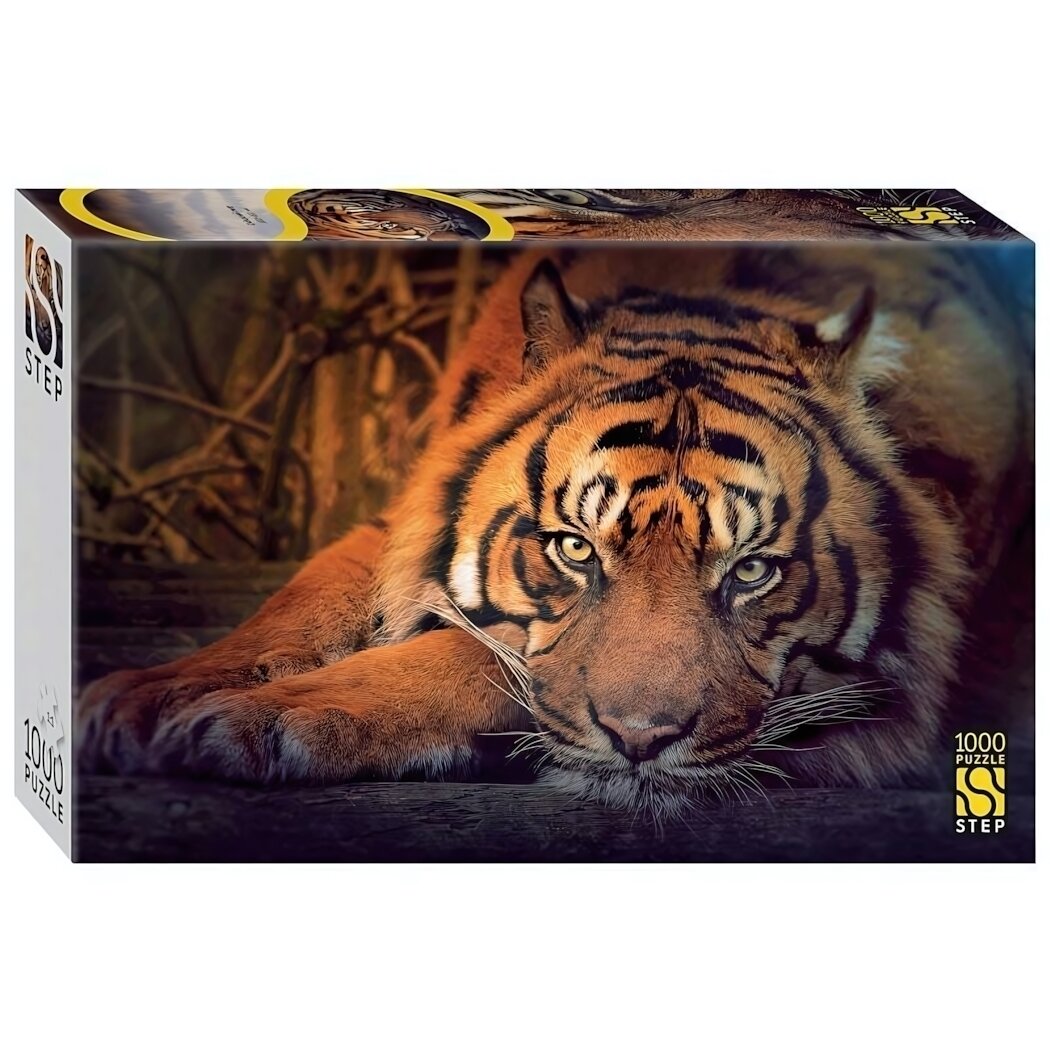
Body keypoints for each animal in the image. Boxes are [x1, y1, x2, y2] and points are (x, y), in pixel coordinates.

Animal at [76, 244, 1032, 814]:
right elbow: (308, 595)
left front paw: (258, 716)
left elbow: (475, 654)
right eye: (575, 550)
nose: (643, 743)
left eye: (752, 571)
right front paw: (148, 696)